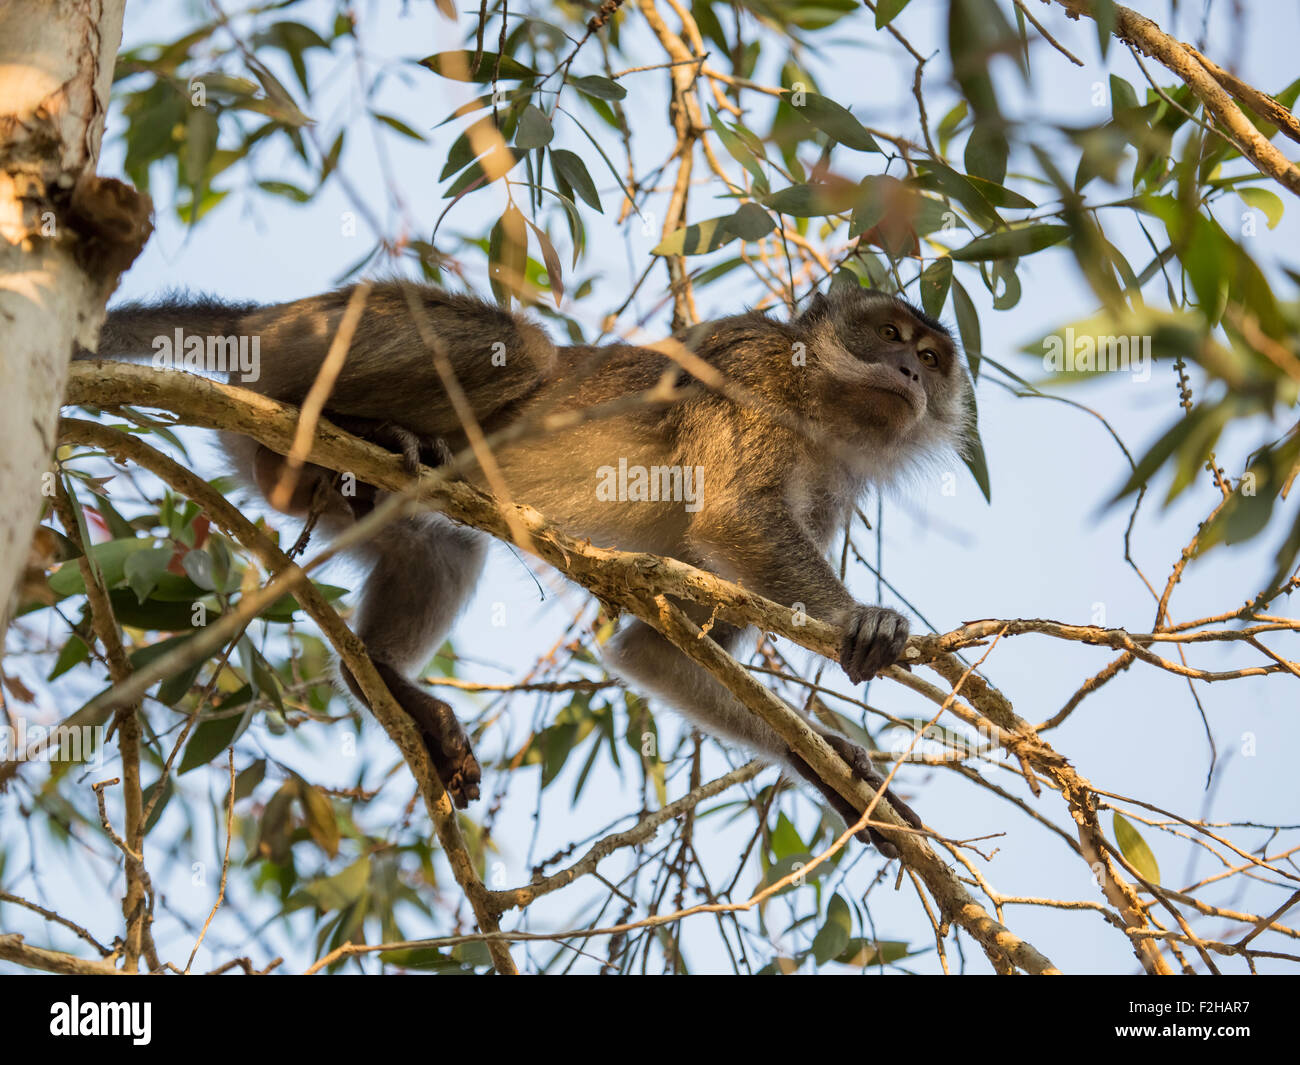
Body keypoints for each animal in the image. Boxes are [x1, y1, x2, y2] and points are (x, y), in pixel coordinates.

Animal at [78, 281, 974, 856]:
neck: (822, 414)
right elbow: (730, 516)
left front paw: (841, 771)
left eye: (933, 359)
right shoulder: (756, 371)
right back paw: (331, 423)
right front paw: (862, 619)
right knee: (523, 349)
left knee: (440, 540)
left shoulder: (828, 496)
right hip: (309, 334)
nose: (909, 373)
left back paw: (379, 663)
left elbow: (655, 652)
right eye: (890, 336)